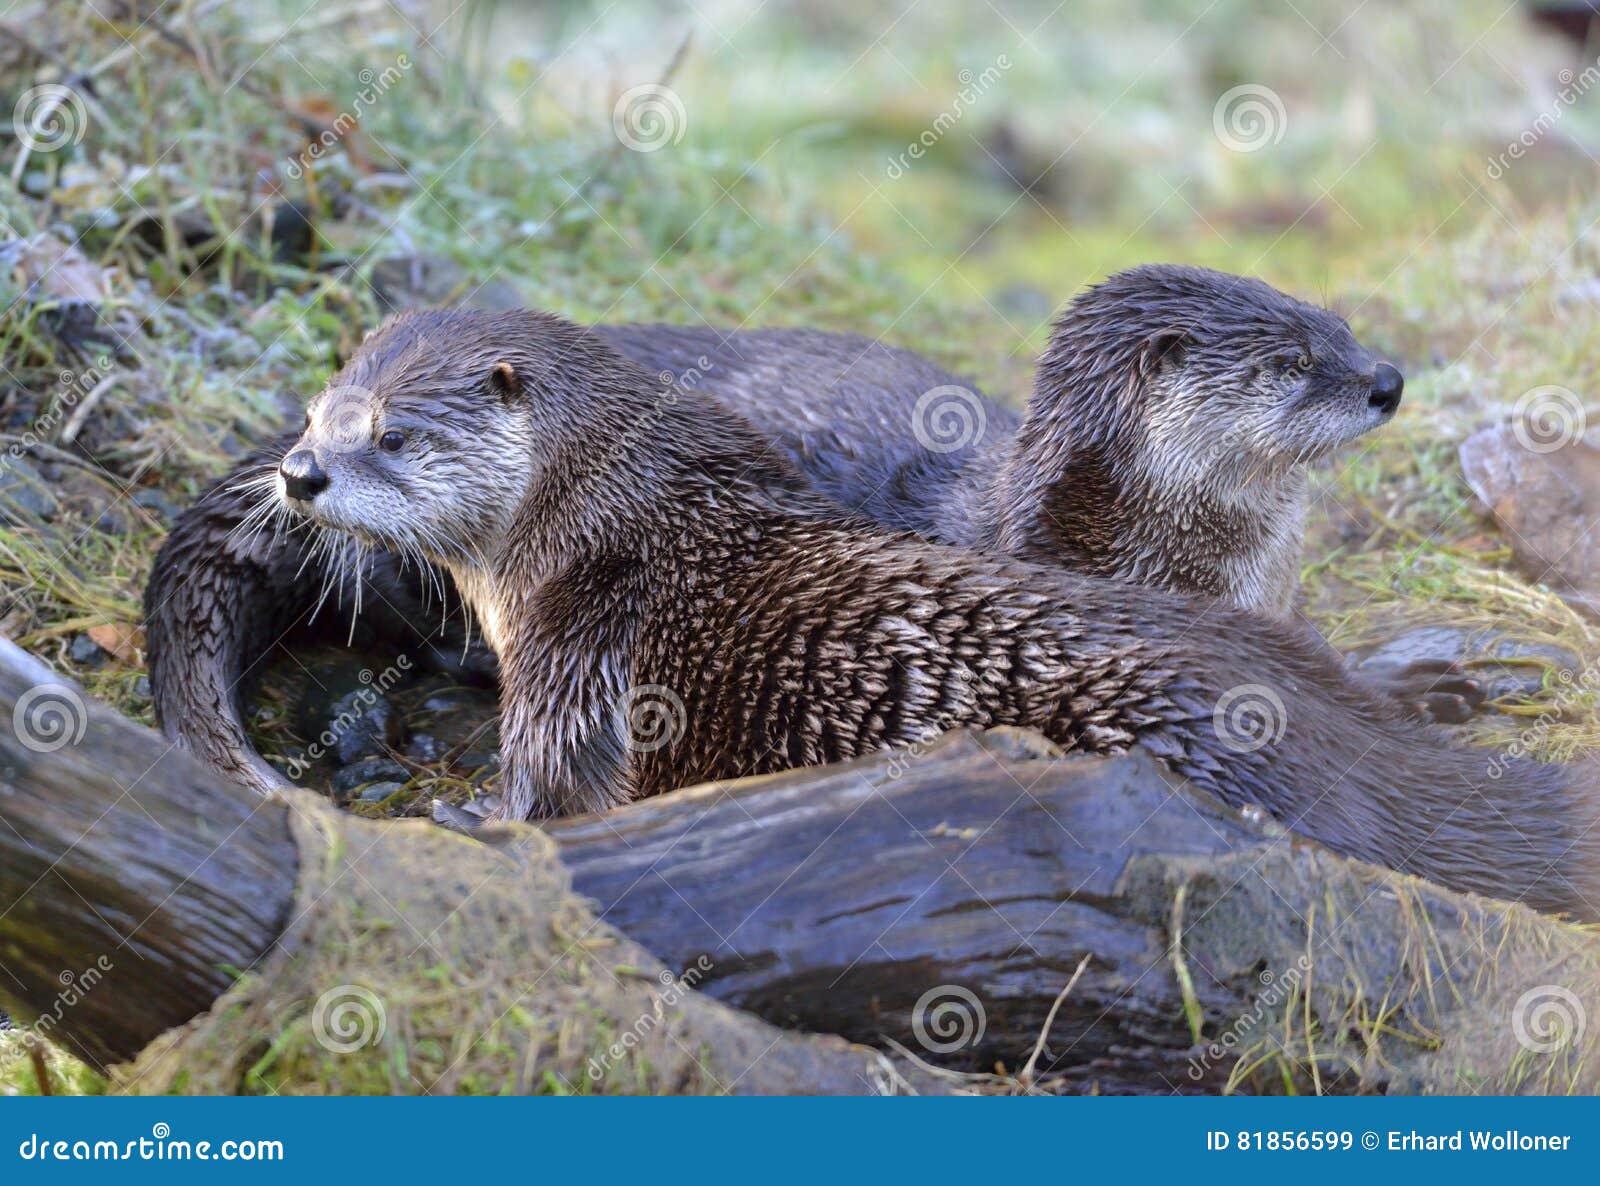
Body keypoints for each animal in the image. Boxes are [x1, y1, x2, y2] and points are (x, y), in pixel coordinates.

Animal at [263, 306, 1597, 918]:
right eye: (319, 409)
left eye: (393, 433)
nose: (300, 472)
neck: (601, 524)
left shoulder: (580, 651)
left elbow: (547, 793)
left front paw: (465, 818)